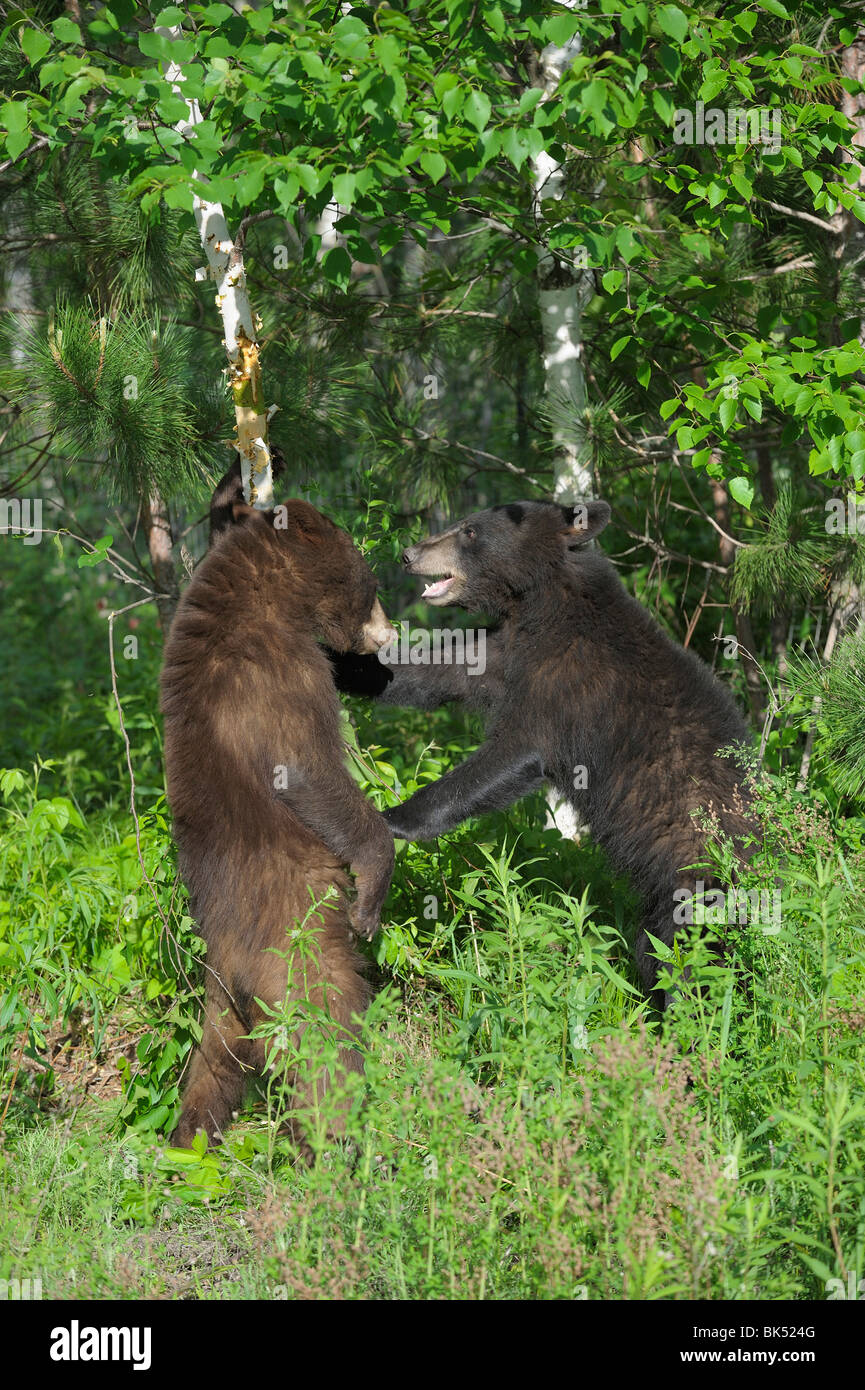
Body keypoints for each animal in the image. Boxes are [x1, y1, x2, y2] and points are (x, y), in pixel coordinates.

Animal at [161, 495, 395, 1149]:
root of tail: (229, 963)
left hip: (222, 1000)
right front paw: (373, 885)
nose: (391, 632)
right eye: (371, 586)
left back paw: (188, 1138)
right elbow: (309, 771)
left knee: (214, 1061)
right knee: (326, 1031)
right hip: (298, 947)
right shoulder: (274, 678)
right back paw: (338, 1142)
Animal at [329, 499, 754, 999]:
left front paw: (394, 818)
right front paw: (333, 659)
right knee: (653, 948)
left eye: (469, 531)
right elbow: (428, 669)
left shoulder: (566, 684)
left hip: (694, 870)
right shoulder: (505, 652)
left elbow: (511, 754)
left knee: (689, 957)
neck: (541, 604)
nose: (410, 554)